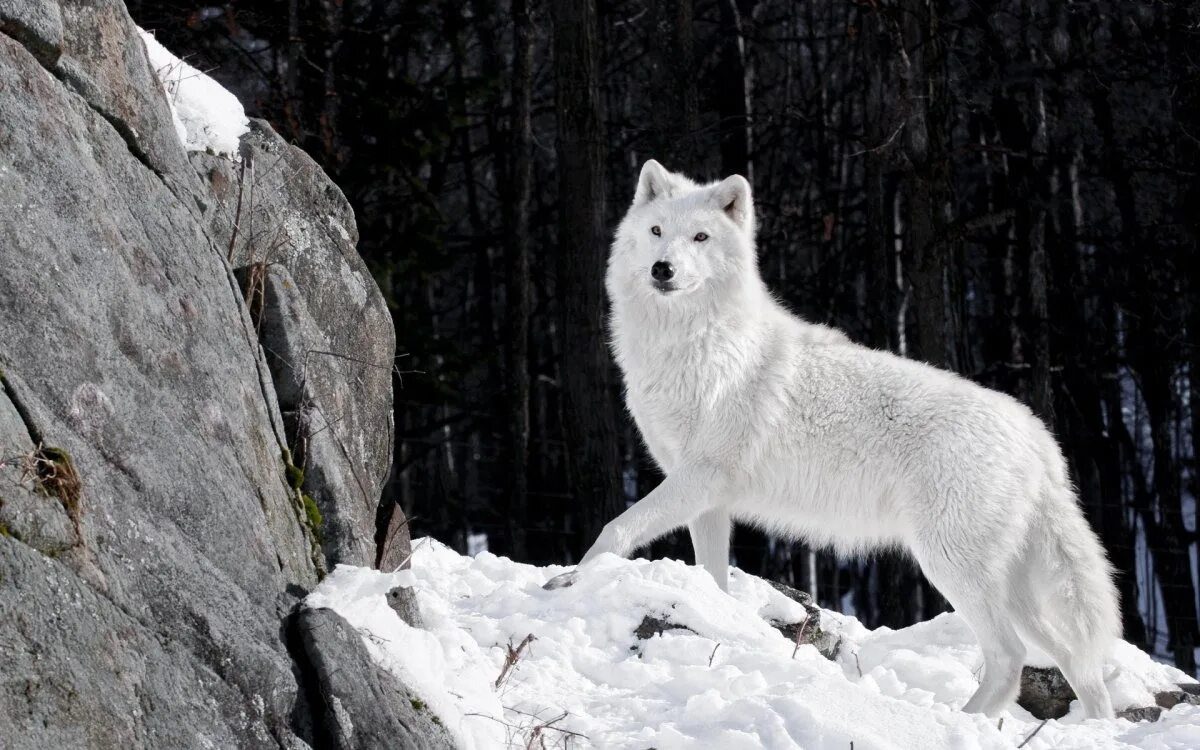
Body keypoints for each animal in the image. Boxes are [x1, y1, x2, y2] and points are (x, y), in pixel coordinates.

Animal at [569, 160, 1121, 719]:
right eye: (657, 232)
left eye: (700, 237)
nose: (663, 269)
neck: (692, 345)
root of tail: (1036, 433)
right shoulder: (707, 500)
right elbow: (713, 580)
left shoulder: (699, 477)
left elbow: (613, 530)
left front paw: (568, 583)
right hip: (1009, 587)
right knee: (1078, 662)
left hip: (950, 564)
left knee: (1010, 658)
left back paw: (958, 722)